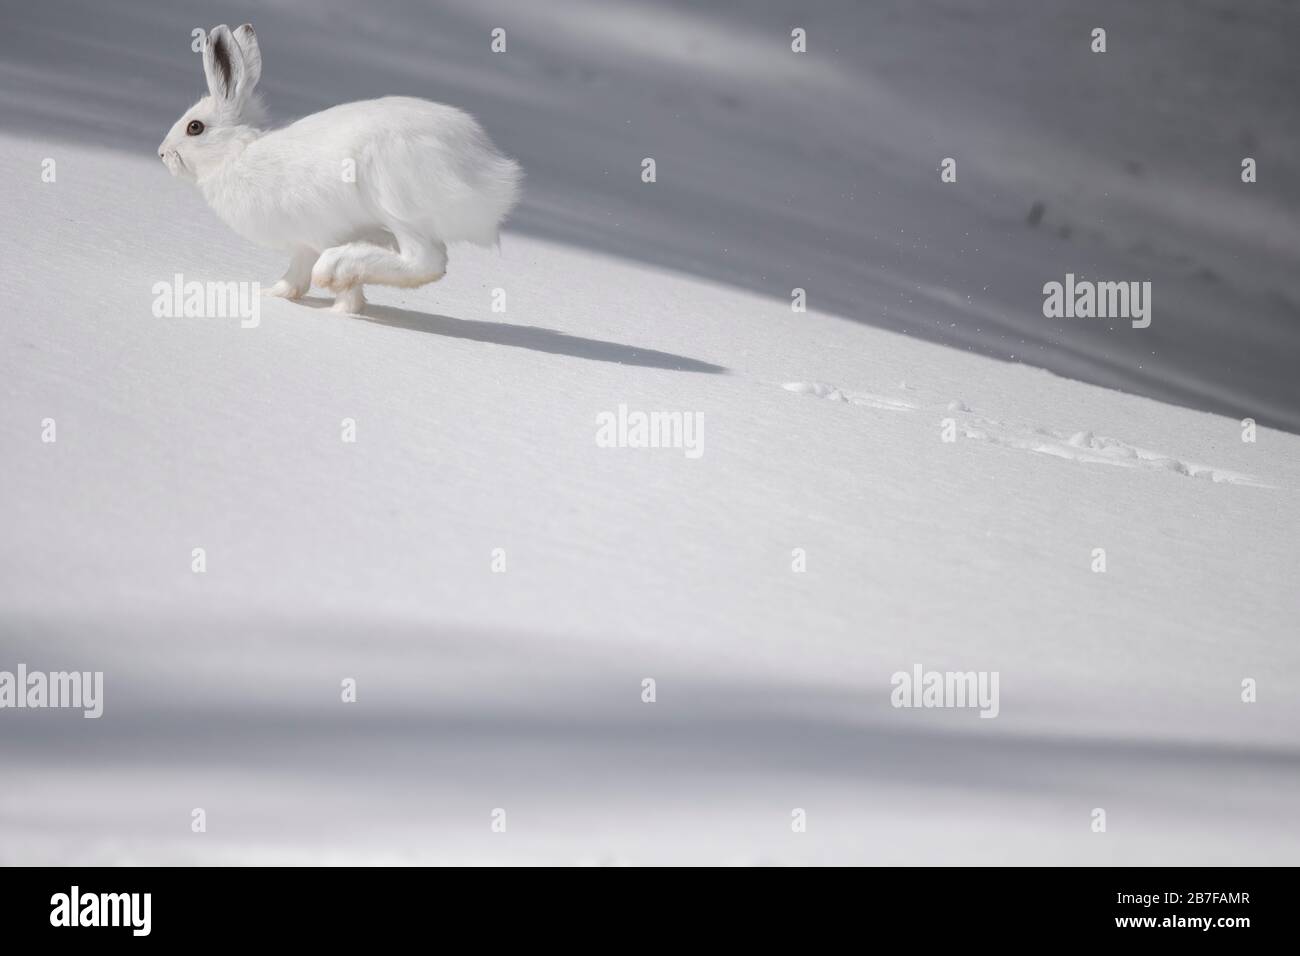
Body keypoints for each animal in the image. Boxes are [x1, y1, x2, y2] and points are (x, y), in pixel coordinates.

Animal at [158, 24, 522, 314]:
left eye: (194, 127)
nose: (162, 153)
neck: (236, 153)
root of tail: (491, 174)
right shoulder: (302, 244)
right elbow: (294, 277)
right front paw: (270, 295)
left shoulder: (321, 232)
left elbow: (338, 287)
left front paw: (339, 312)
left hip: (397, 200)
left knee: (426, 261)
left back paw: (337, 268)